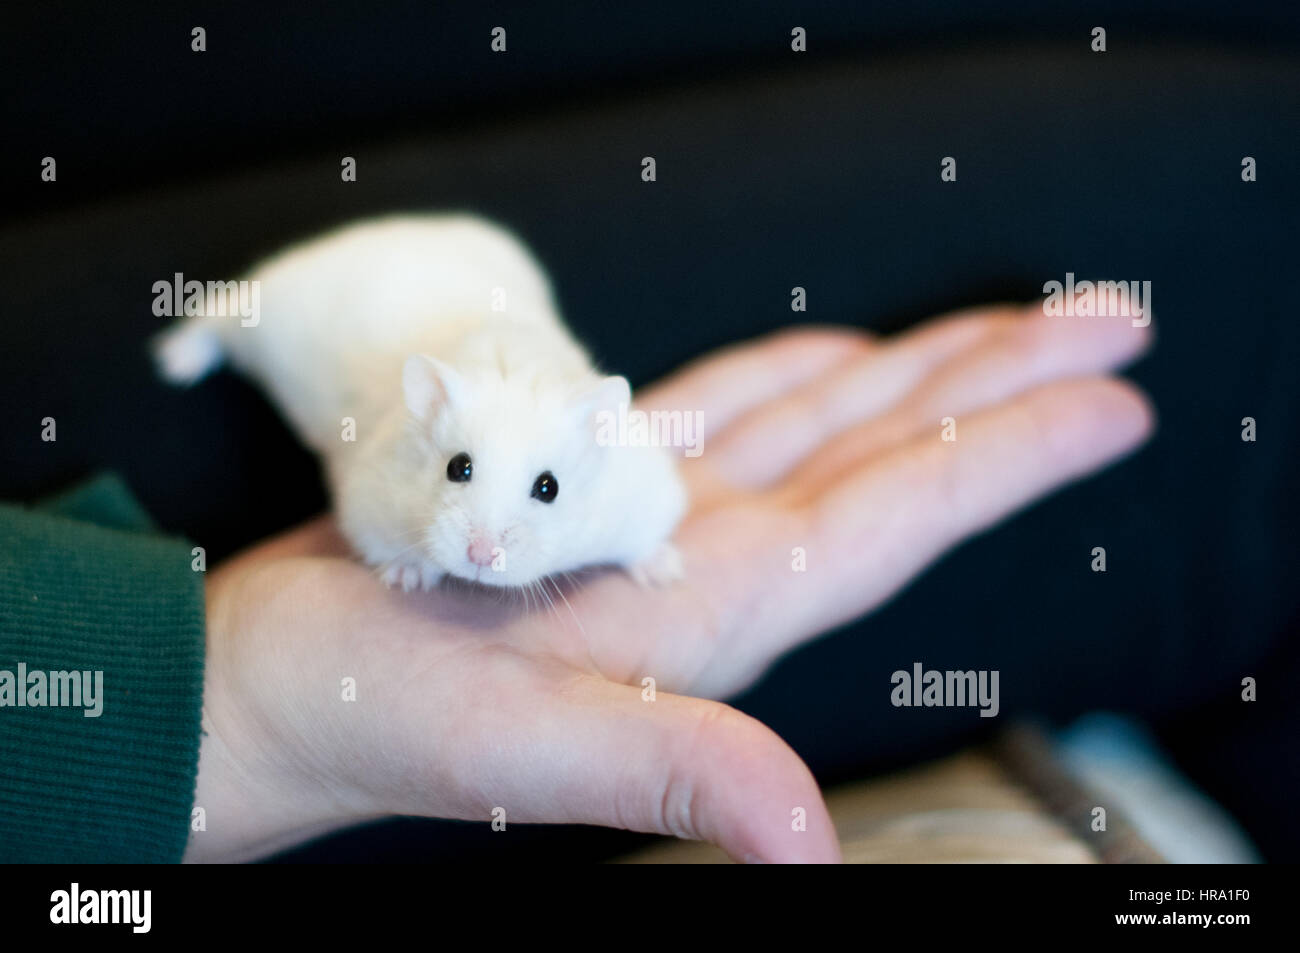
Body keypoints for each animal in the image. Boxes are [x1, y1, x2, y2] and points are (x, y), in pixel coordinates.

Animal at [155, 214, 687, 591]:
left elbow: (645, 539)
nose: (479, 557)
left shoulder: (642, 493)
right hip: (262, 311)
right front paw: (409, 579)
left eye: (548, 487)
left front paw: (664, 573)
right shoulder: (367, 500)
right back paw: (174, 363)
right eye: (458, 468)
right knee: (218, 312)